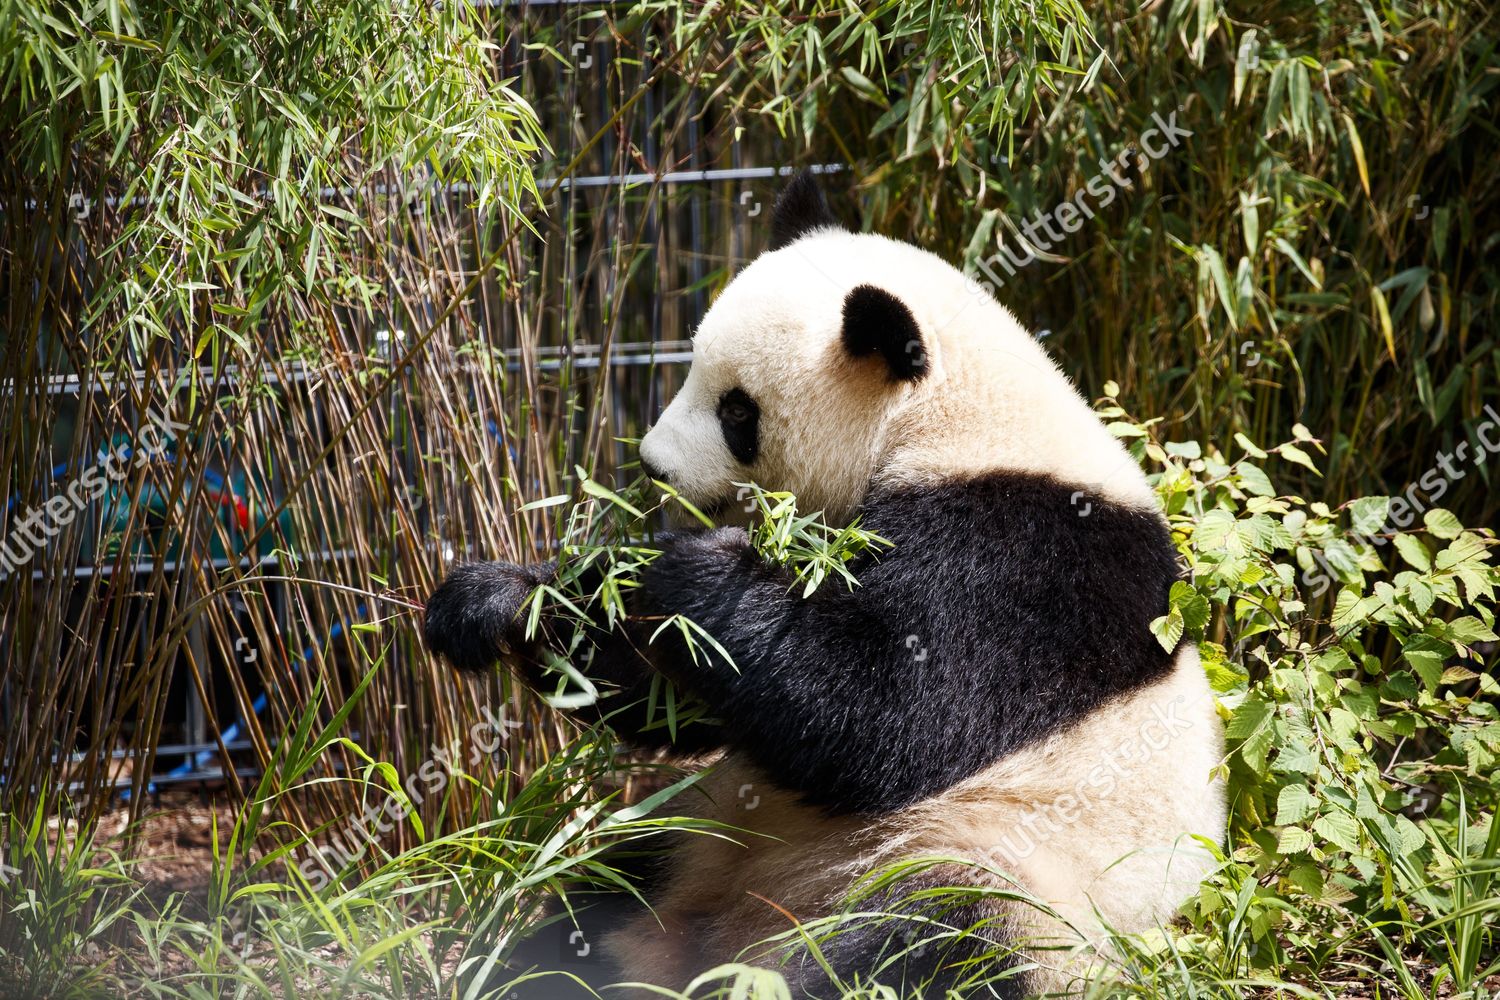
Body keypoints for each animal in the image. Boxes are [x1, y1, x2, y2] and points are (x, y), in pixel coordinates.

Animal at [423, 171, 1226, 998]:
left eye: (738, 411)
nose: (653, 464)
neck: (952, 418)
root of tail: (726, 935)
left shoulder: (1026, 557)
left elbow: (881, 713)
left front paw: (694, 569)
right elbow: (690, 702)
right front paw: (498, 602)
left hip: (997, 878)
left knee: (932, 945)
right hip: (701, 834)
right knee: (606, 890)